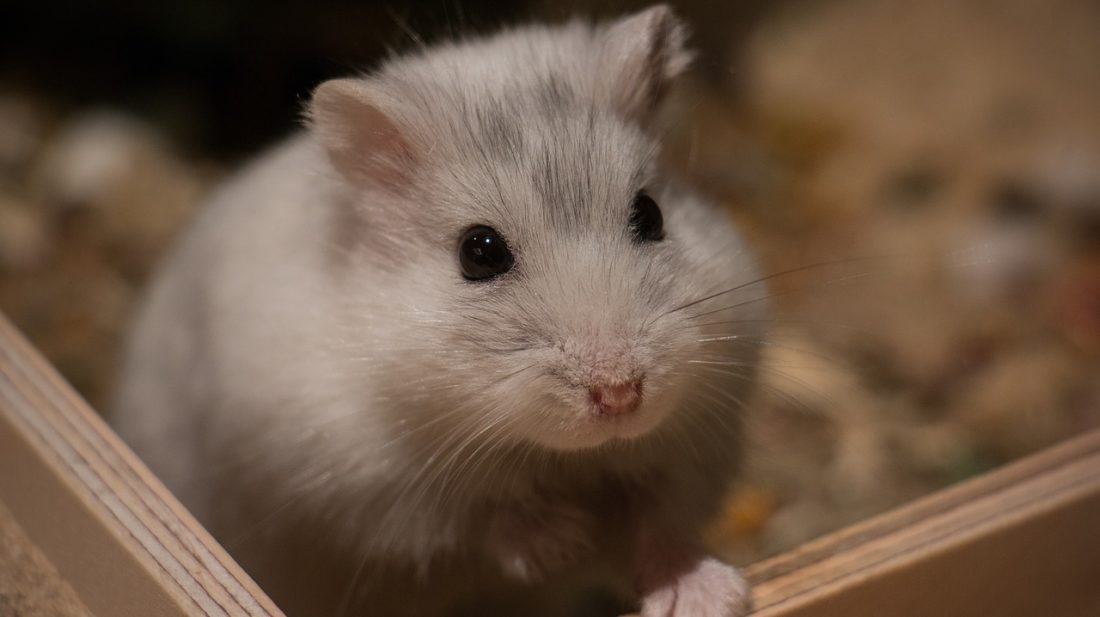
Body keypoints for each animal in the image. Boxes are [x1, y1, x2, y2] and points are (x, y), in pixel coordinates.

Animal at [112, 5, 766, 617]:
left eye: (651, 214)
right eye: (479, 252)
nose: (621, 395)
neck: (561, 455)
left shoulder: (692, 443)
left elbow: (660, 521)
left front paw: (706, 597)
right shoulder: (372, 489)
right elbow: (479, 515)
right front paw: (562, 542)